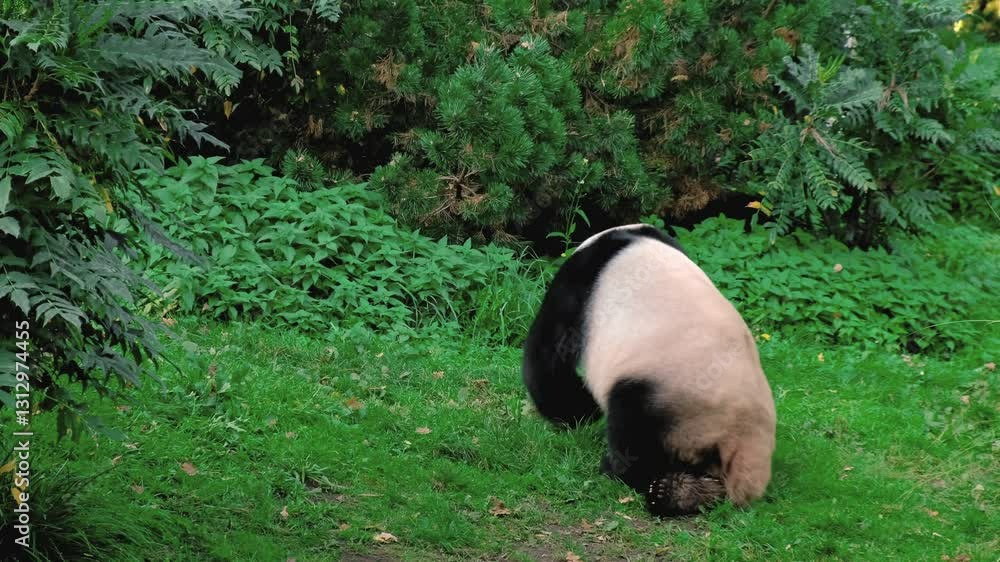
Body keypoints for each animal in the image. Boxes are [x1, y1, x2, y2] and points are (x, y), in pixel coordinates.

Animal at [522, 224, 776, 516]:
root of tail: (741, 441)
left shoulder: (581, 282)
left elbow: (551, 351)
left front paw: (579, 413)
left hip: (669, 397)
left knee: (631, 427)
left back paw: (620, 472)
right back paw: (684, 493)